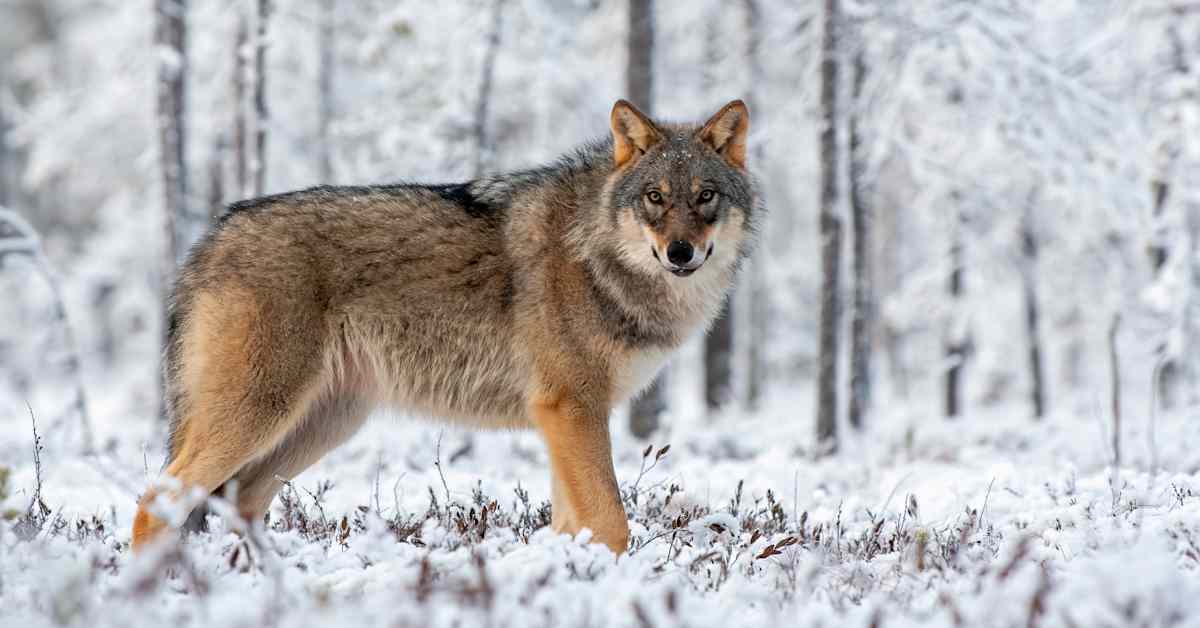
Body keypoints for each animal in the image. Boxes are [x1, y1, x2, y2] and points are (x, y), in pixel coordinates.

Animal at [132, 99, 760, 554]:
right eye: (655, 197)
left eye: (705, 196)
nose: (681, 253)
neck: (596, 253)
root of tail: (207, 240)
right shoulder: (571, 407)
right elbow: (610, 522)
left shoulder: (566, 417)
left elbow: (572, 524)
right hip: (263, 414)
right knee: (153, 503)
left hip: (321, 424)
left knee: (239, 505)